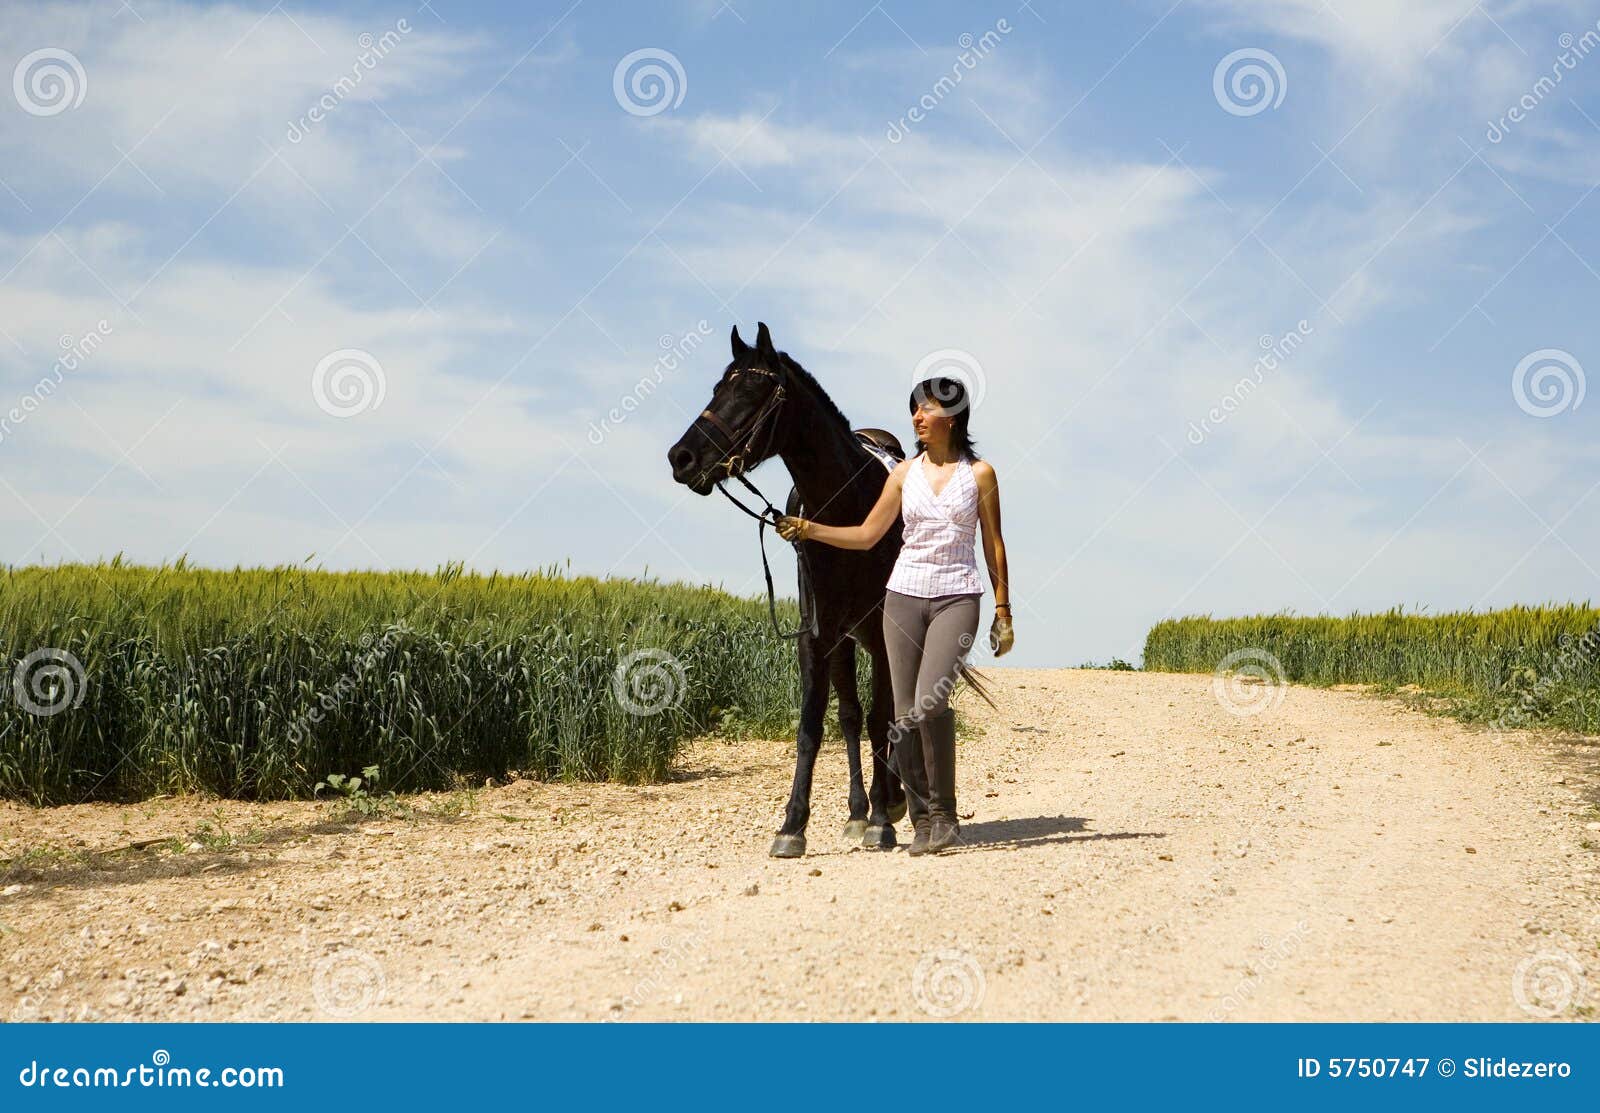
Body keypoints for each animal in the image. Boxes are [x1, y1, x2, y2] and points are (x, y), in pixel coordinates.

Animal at [667, 322, 908, 857]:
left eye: (751, 393)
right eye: (717, 388)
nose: (681, 457)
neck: (849, 507)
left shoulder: (883, 630)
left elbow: (883, 715)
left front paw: (884, 818)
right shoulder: (816, 634)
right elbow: (814, 725)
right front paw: (793, 825)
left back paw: (893, 801)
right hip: (845, 641)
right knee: (851, 716)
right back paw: (858, 812)